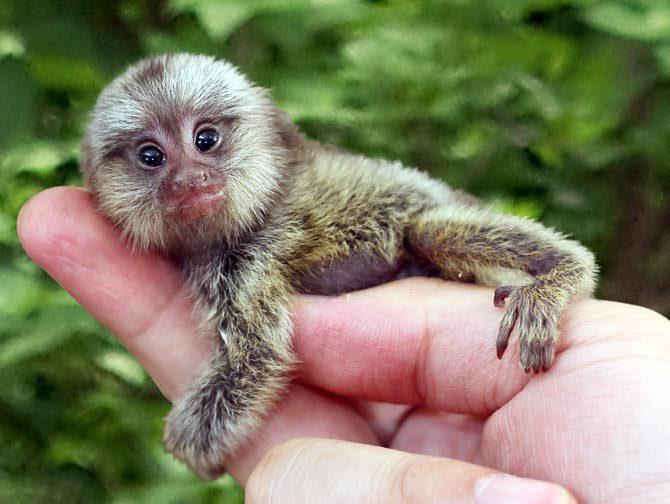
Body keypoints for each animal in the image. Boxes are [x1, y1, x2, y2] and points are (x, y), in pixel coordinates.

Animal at [80, 53, 597, 480]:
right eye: (151, 156)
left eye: (205, 139)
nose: (190, 180)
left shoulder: (252, 256)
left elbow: (255, 354)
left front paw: (190, 445)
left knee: (427, 230)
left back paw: (557, 278)